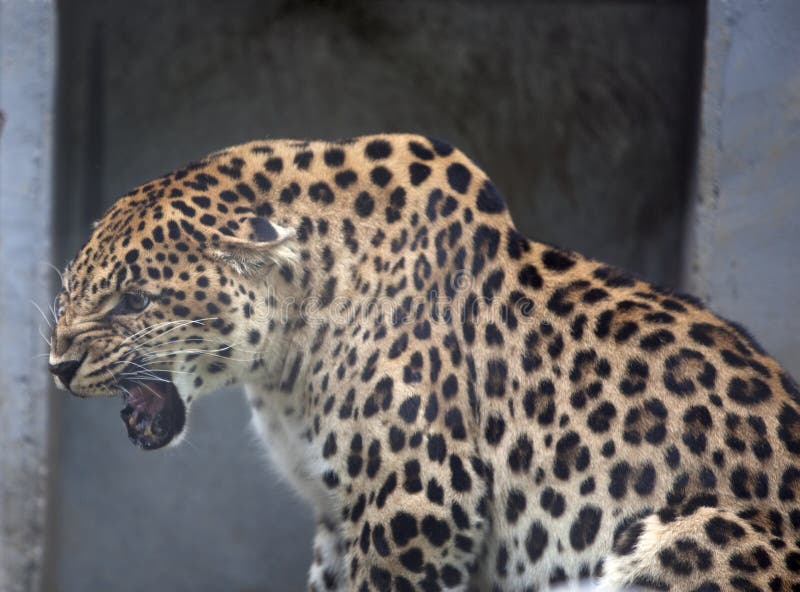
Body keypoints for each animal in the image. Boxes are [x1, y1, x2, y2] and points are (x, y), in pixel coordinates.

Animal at [49, 133, 800, 592]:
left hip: (695, 531)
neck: (285, 361)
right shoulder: (340, 517)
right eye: (69, 291)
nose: (56, 365)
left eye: (133, 301)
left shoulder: (418, 499)